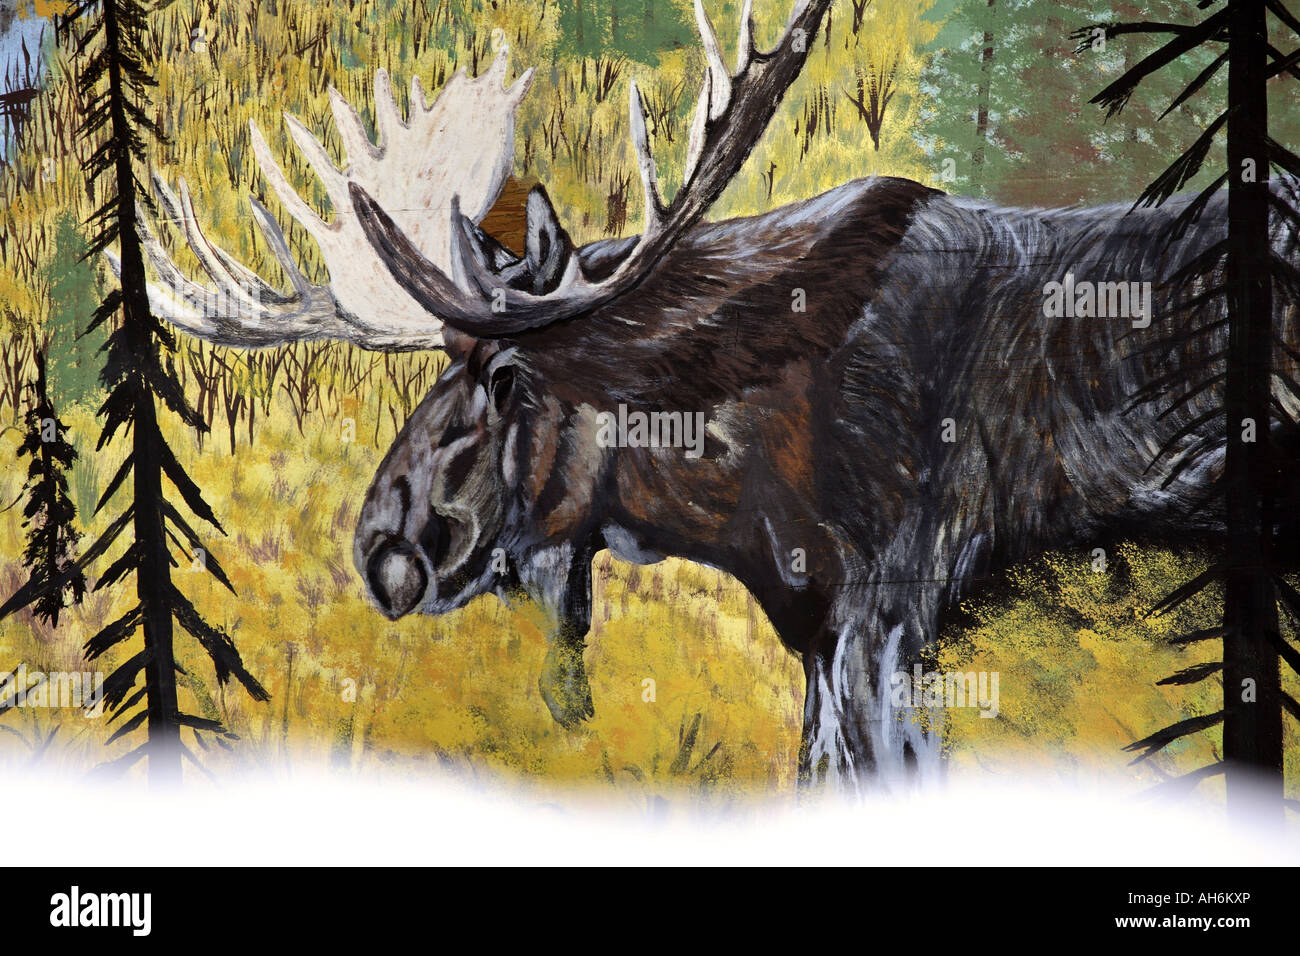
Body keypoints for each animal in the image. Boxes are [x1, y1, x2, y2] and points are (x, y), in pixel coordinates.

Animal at [121, 0, 1300, 792]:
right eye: (436, 369)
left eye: (506, 375)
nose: (384, 548)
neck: (735, 489)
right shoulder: (820, 628)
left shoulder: (888, 607)